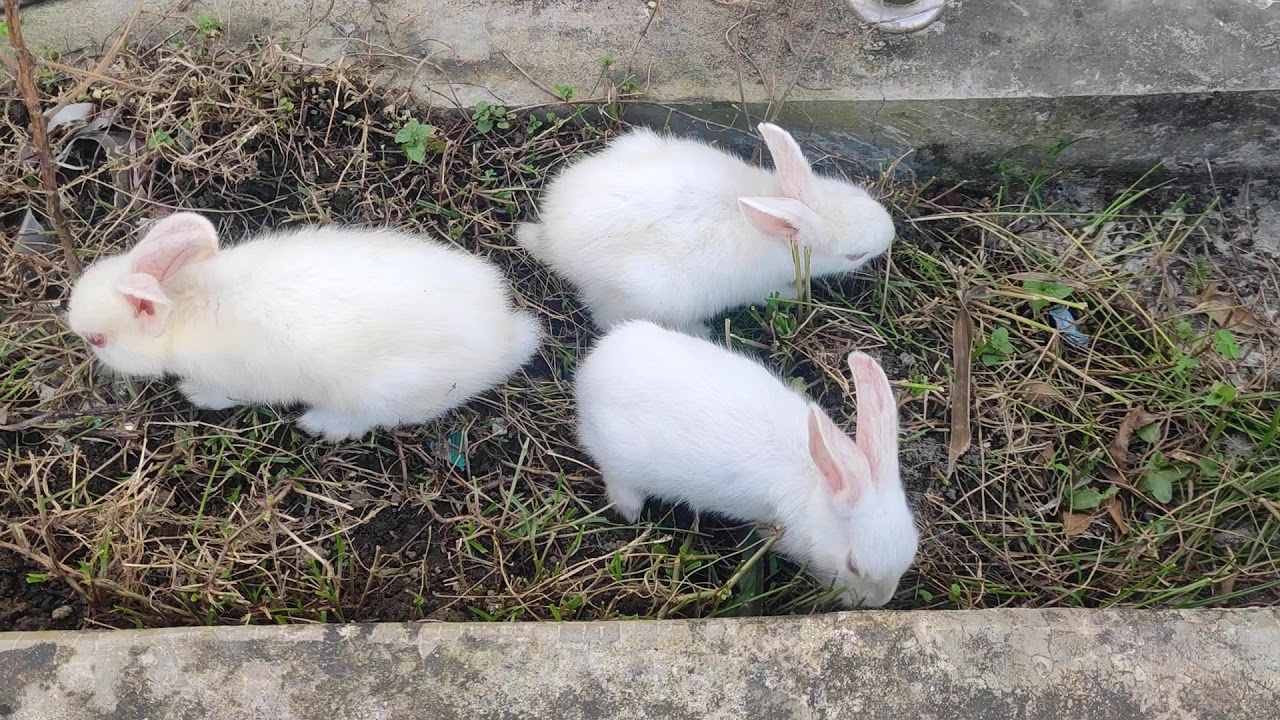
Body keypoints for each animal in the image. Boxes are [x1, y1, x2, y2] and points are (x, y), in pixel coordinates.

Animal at [67, 212, 543, 441]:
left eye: (97, 339)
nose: (82, 343)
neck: (185, 309)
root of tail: (505, 335)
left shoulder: (234, 379)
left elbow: (222, 395)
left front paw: (194, 395)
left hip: (380, 391)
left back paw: (320, 425)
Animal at [516, 122, 895, 337]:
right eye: (854, 255)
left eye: (856, 192)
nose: (891, 233)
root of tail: (553, 239)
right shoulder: (761, 285)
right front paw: (795, 296)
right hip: (653, 296)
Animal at [574, 320, 917, 607]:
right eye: (853, 565)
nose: (879, 602)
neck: (817, 486)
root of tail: (590, 372)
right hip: (620, 459)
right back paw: (631, 511)